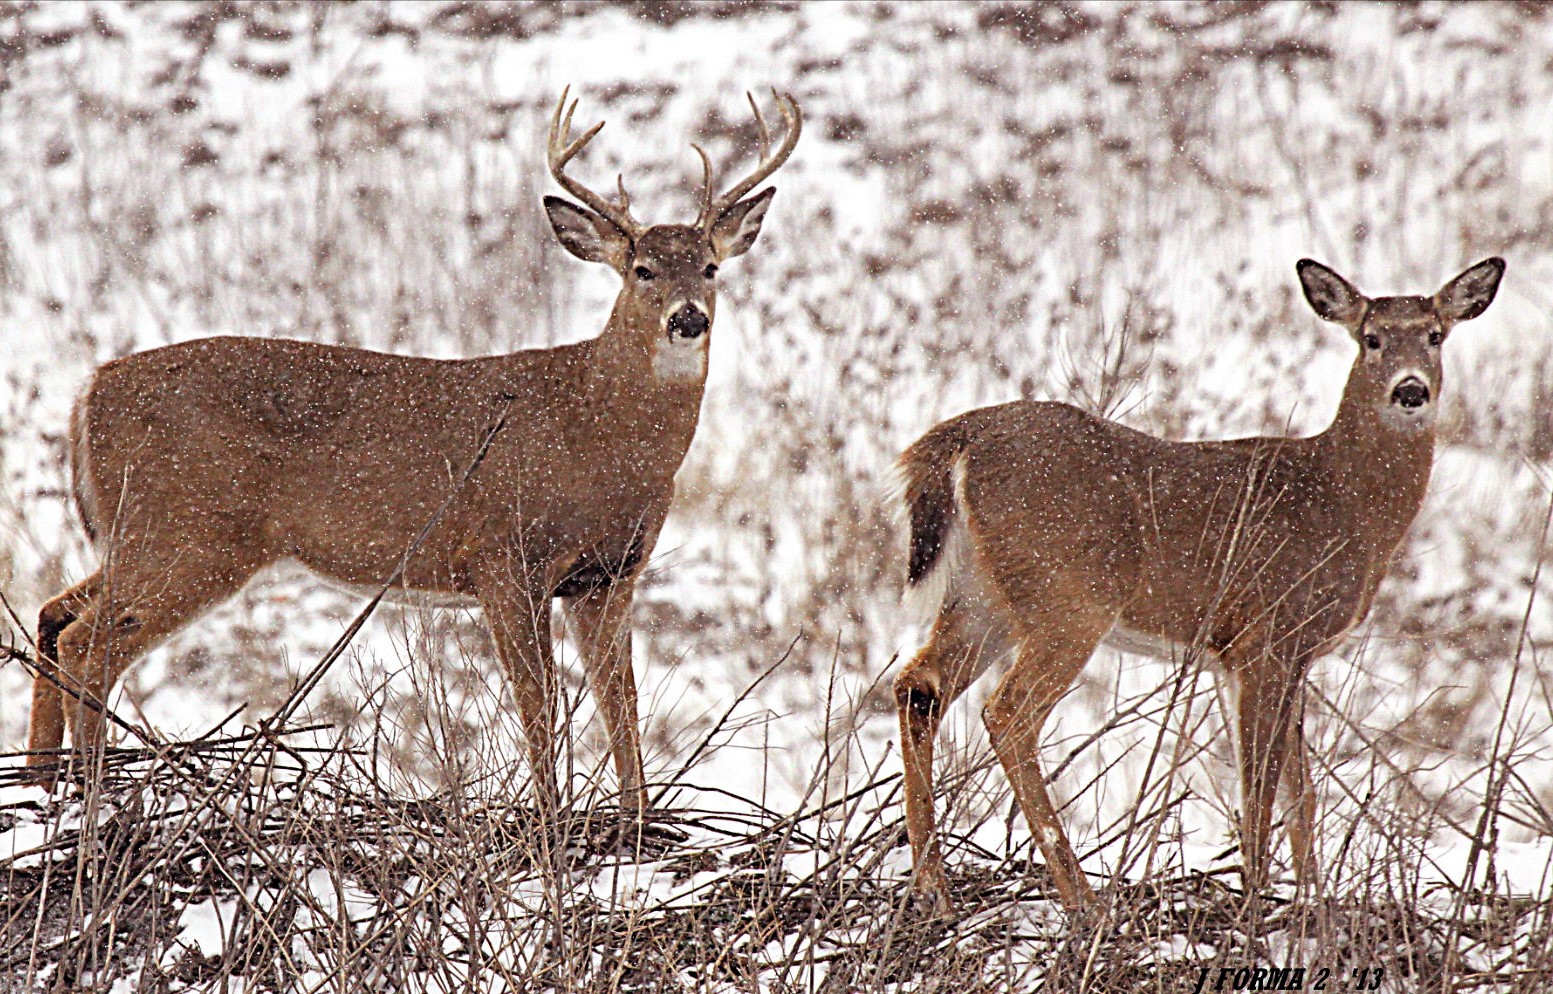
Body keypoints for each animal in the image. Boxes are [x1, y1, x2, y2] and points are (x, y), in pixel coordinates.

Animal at [23, 89, 801, 819]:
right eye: (641, 269)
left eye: (708, 266)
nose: (686, 318)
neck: (597, 437)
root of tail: (92, 389)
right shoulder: (503, 555)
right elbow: (538, 700)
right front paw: (550, 817)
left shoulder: (608, 574)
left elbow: (621, 700)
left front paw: (637, 818)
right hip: (190, 530)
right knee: (90, 642)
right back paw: (90, 798)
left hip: (145, 532)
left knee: (55, 614)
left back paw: (42, 789)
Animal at [892, 257, 1505, 913]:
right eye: (1372, 339)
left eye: (1435, 335)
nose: (1410, 389)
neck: (1344, 501)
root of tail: (961, 439)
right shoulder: (1266, 633)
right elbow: (1260, 781)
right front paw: (1258, 896)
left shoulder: (1282, 655)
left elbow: (1301, 791)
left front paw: (1312, 901)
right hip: (1071, 594)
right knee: (1008, 712)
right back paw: (1081, 898)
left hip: (985, 595)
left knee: (918, 685)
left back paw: (934, 888)